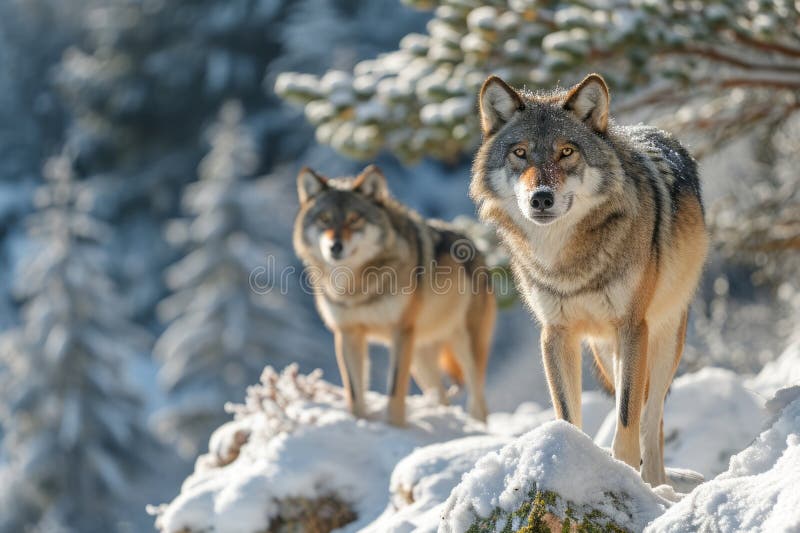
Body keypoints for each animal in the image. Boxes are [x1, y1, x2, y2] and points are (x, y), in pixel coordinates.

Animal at [293, 164, 495, 425]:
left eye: (354, 219)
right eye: (324, 219)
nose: (335, 247)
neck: (356, 287)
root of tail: (475, 245)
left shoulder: (399, 331)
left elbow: (395, 390)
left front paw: (395, 426)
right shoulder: (348, 333)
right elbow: (354, 393)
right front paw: (360, 423)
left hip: (465, 349)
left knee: (478, 401)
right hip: (421, 360)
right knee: (442, 397)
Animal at [470, 73, 708, 486]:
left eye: (567, 152)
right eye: (520, 153)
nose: (541, 198)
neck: (566, 262)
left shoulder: (632, 327)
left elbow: (627, 420)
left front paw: (625, 473)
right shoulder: (556, 333)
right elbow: (568, 415)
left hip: (662, 341)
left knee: (651, 418)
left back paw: (656, 485)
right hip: (604, 351)